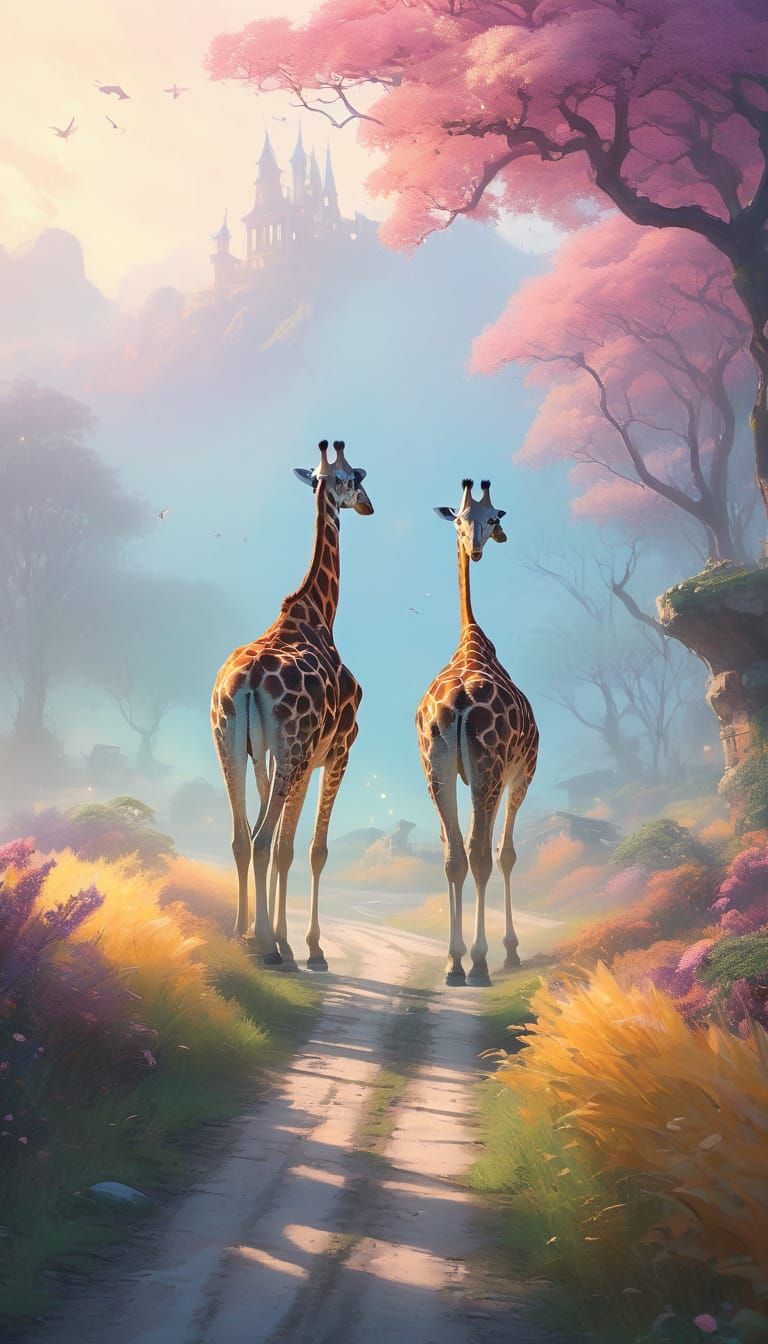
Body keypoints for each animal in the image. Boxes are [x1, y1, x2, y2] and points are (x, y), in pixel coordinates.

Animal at [211, 440, 373, 970]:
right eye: (353, 477)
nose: (368, 504)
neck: (320, 612)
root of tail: (245, 682)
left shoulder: (272, 754)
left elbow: (281, 843)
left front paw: (277, 938)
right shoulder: (336, 751)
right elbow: (306, 849)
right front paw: (307, 947)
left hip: (228, 742)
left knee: (242, 837)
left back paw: (239, 935)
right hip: (296, 751)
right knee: (263, 840)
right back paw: (265, 947)